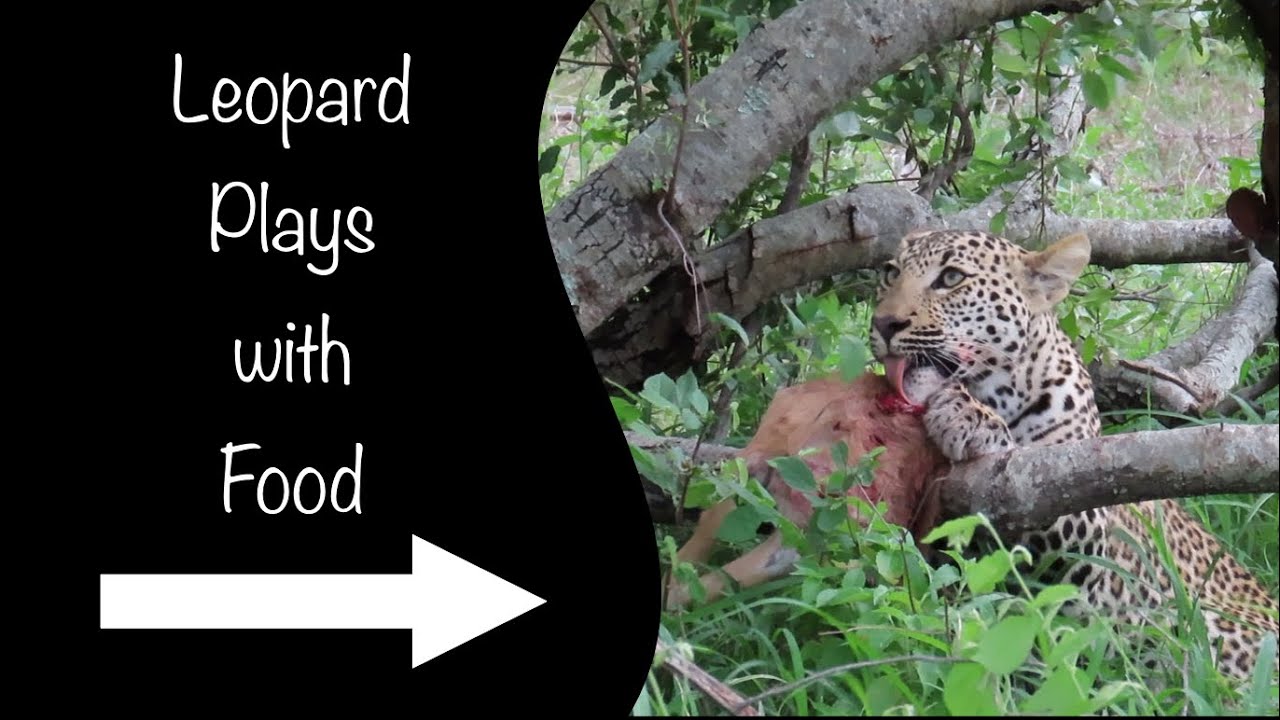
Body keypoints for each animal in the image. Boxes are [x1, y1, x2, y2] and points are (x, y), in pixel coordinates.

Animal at [869, 227, 1279, 685]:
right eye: (891, 273)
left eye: (952, 277)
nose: (883, 323)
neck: (998, 392)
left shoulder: (1080, 529)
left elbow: (1019, 483)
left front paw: (965, 414)